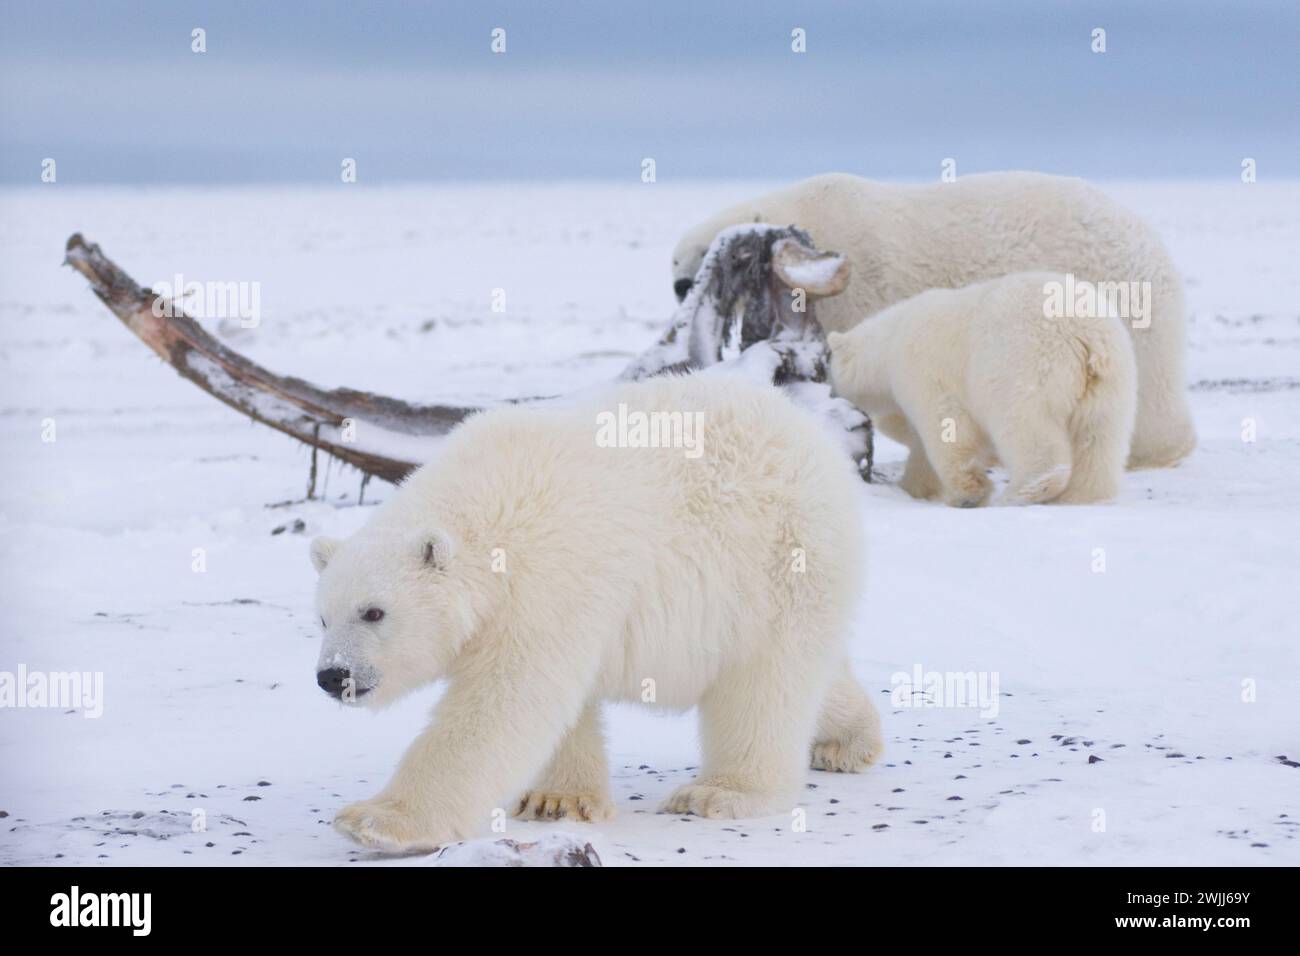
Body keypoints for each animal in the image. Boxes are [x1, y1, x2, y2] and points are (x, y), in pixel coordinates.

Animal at [309, 372, 881, 853]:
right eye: (323, 617)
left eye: (374, 612)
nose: (332, 675)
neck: (491, 514)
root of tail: (810, 431)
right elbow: (562, 704)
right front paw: (557, 801)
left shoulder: (549, 579)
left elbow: (504, 700)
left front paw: (375, 821)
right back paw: (846, 741)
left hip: (777, 560)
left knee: (764, 681)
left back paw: (721, 792)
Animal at [671, 171, 1193, 470]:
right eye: (676, 257)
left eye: (706, 255)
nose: (679, 286)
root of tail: (1154, 246)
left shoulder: (853, 289)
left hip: (1120, 295)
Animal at [827, 271, 1138, 507]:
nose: (831, 394)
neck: (891, 338)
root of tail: (1085, 337)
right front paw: (914, 487)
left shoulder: (924, 371)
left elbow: (947, 427)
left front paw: (968, 494)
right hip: (1112, 382)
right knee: (1099, 437)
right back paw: (1081, 496)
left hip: (1021, 365)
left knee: (1024, 426)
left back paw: (1022, 492)